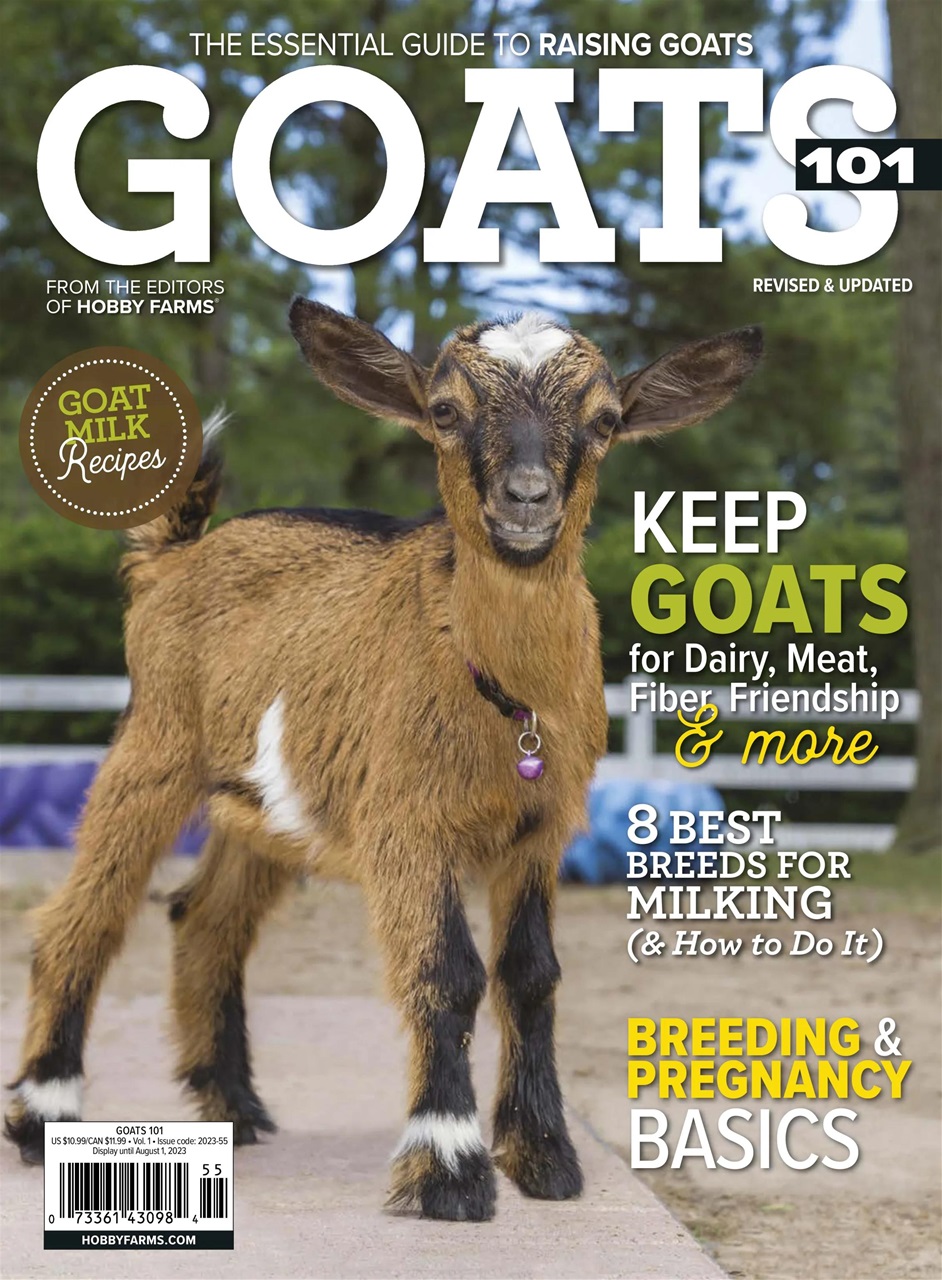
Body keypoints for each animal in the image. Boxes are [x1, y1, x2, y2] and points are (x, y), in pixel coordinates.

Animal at [5, 302, 761, 1220]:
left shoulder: (540, 829)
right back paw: (45, 1112)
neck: (502, 692)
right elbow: (446, 971)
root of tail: (172, 556)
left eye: (607, 420)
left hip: (262, 808)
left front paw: (544, 1155)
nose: (527, 500)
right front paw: (449, 1169)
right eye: (444, 410)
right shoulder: (407, 821)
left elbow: (530, 975)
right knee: (85, 916)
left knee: (205, 917)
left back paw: (234, 1106)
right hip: (154, 744)